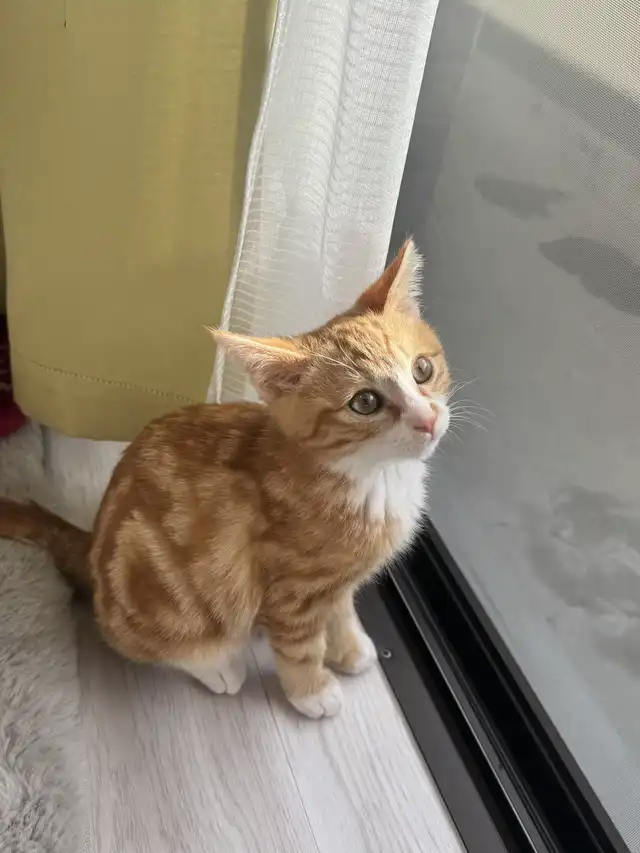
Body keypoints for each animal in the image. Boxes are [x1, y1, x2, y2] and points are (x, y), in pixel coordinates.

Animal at [0, 239, 450, 718]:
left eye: (422, 370)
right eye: (365, 402)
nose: (428, 420)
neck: (374, 477)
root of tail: (91, 546)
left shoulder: (335, 579)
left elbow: (340, 607)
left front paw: (349, 647)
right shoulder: (290, 589)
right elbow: (299, 644)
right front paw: (312, 690)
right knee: (141, 640)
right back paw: (218, 669)